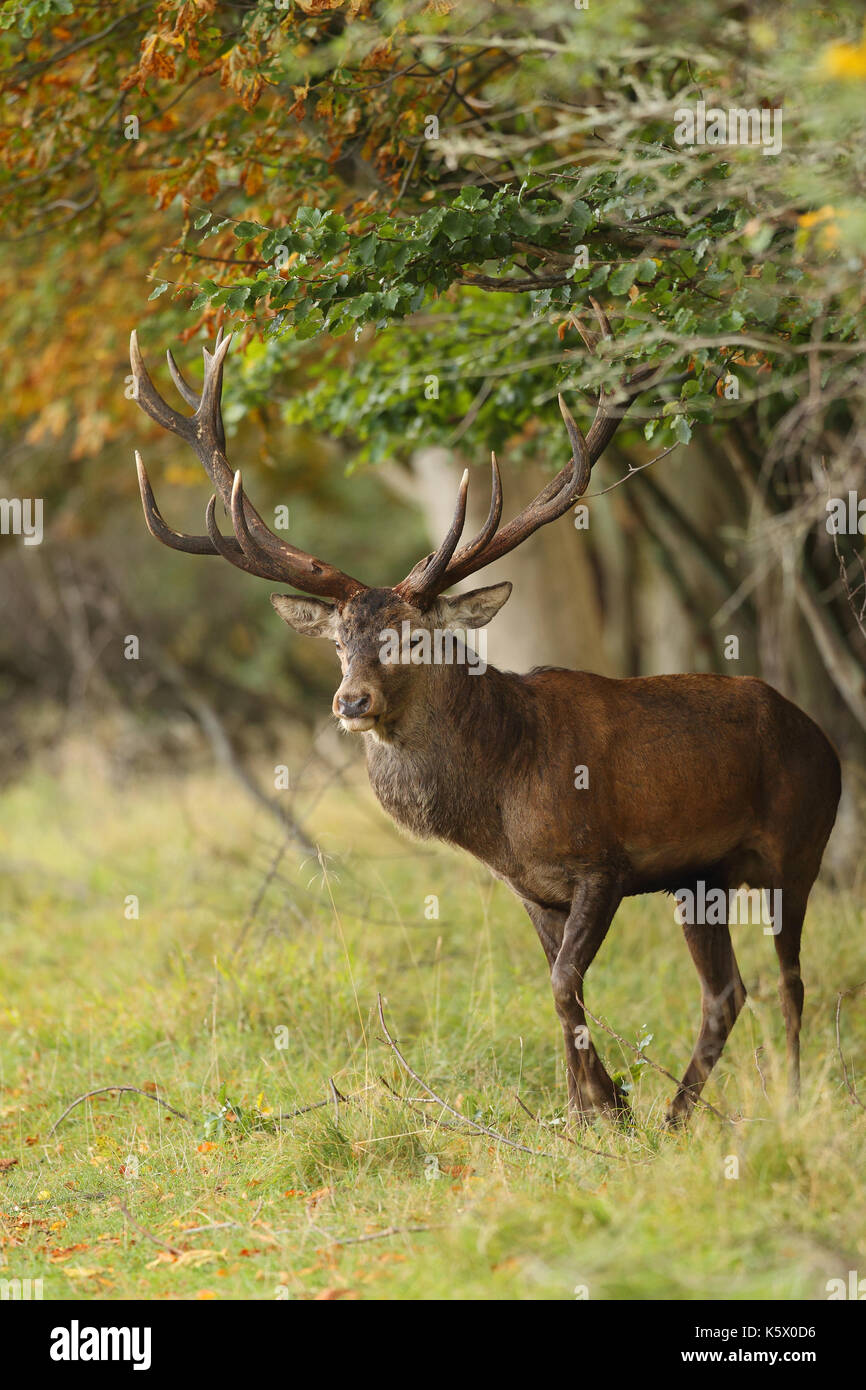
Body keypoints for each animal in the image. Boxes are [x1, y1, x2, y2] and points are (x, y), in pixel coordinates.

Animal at [128, 312, 841, 1128]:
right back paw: (676, 1116)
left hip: (799, 845)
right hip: (703, 880)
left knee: (789, 980)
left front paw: (604, 1109)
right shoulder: (531, 885)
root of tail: (824, 739)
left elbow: (563, 984)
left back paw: (790, 1098)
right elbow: (565, 988)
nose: (351, 702)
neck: (502, 796)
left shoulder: (603, 862)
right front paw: (595, 1109)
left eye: (414, 636)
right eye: (338, 641)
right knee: (725, 992)